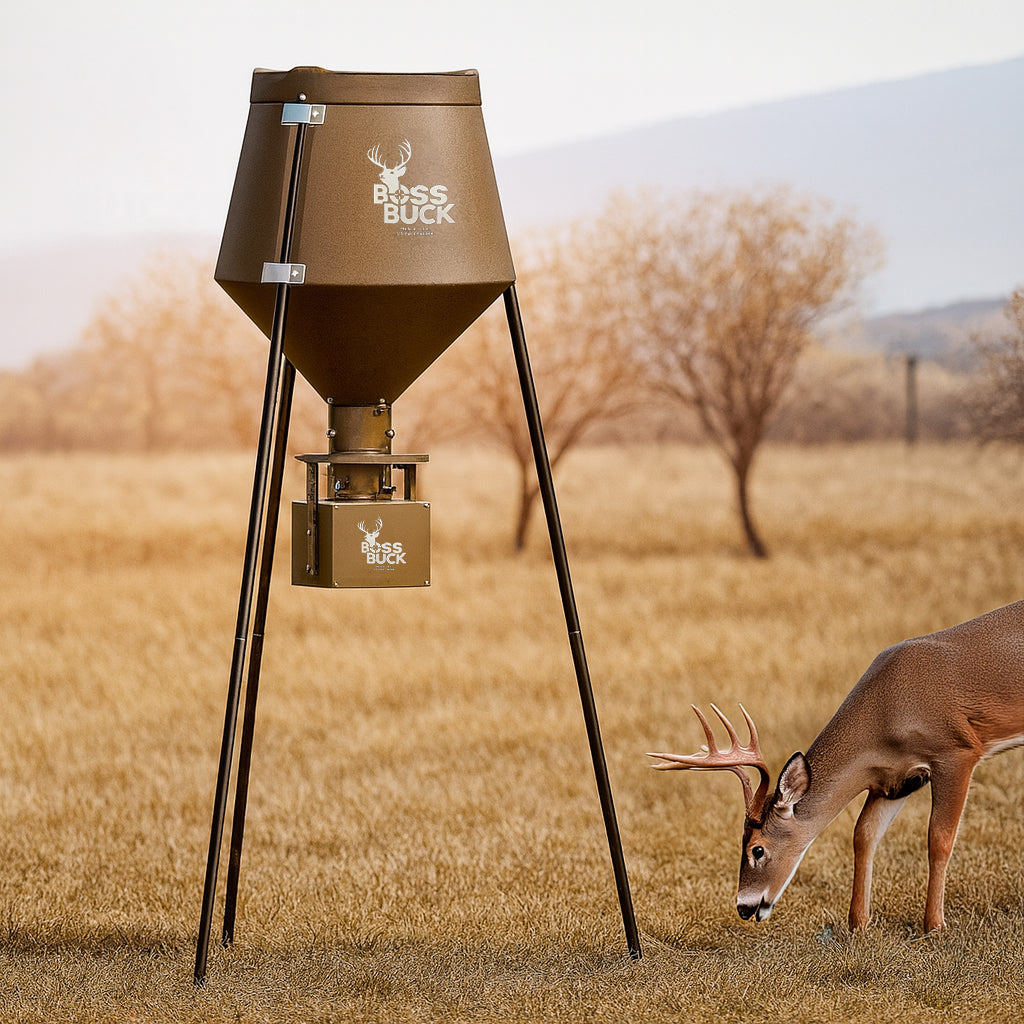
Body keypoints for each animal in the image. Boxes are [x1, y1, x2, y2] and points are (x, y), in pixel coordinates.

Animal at [648, 600, 1024, 934]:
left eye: (758, 849)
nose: (743, 906)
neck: (886, 713)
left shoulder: (956, 752)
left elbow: (939, 838)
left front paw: (934, 926)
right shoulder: (896, 780)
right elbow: (864, 834)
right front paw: (859, 923)